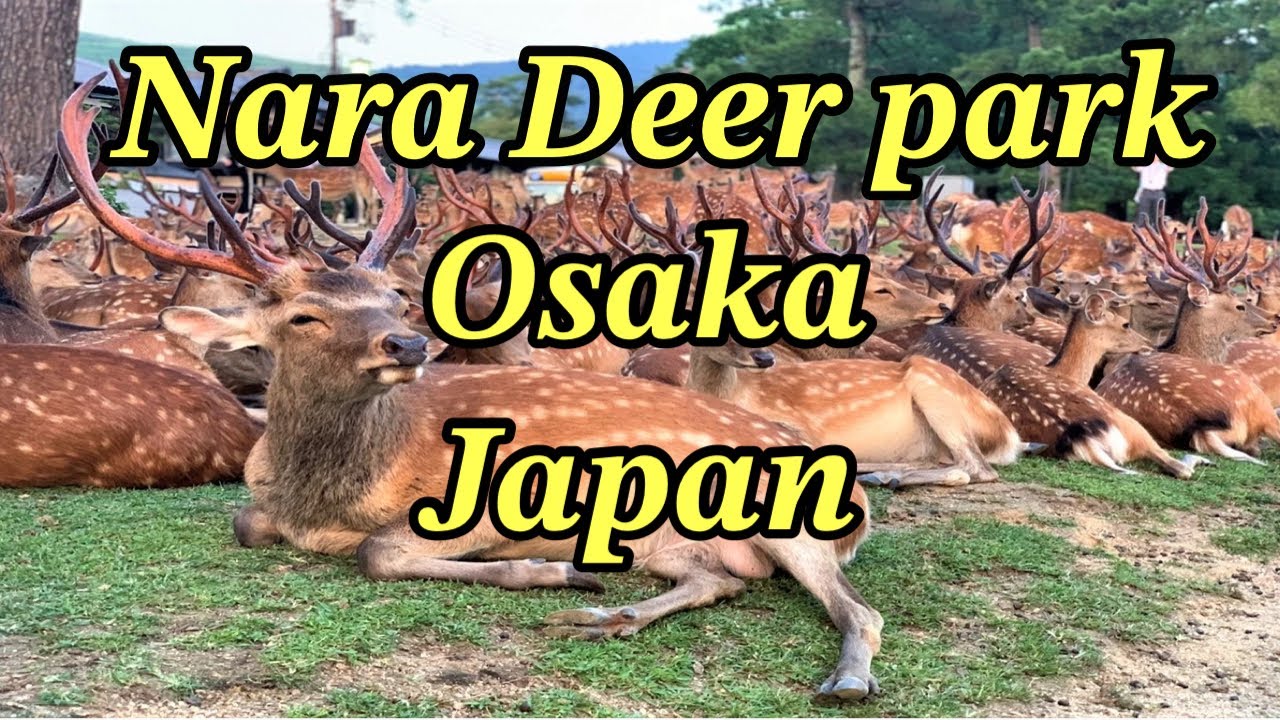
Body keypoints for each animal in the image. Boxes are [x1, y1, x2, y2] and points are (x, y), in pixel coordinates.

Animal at [61, 77, 886, 702]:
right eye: (304, 316)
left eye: (394, 299)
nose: (408, 343)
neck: (330, 495)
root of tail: (858, 493)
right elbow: (244, 522)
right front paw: (573, 574)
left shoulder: (482, 500)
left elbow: (379, 552)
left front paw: (548, 567)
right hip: (677, 542)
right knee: (722, 579)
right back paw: (607, 613)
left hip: (793, 518)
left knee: (858, 611)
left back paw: (843, 679)